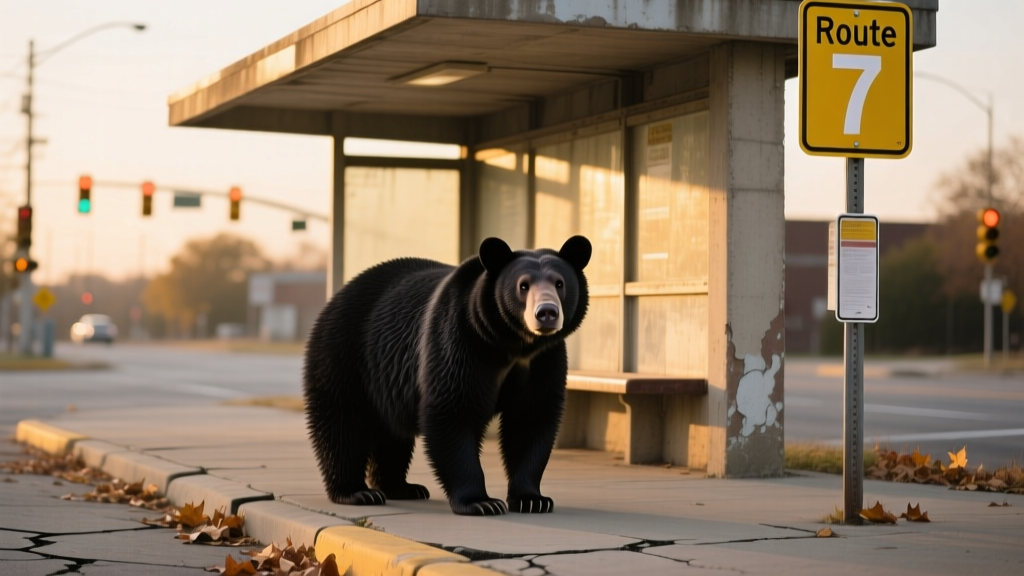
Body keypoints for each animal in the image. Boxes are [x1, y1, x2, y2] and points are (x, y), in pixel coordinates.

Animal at [303, 236, 591, 516]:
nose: (547, 313)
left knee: (392, 433)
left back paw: (401, 487)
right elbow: (453, 410)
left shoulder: (544, 360)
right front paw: (481, 502)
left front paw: (532, 499)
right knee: (343, 421)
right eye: (523, 286)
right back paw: (356, 491)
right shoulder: (460, 339)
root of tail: (338, 294)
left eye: (560, 283)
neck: (511, 344)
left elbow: (530, 417)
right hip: (346, 353)